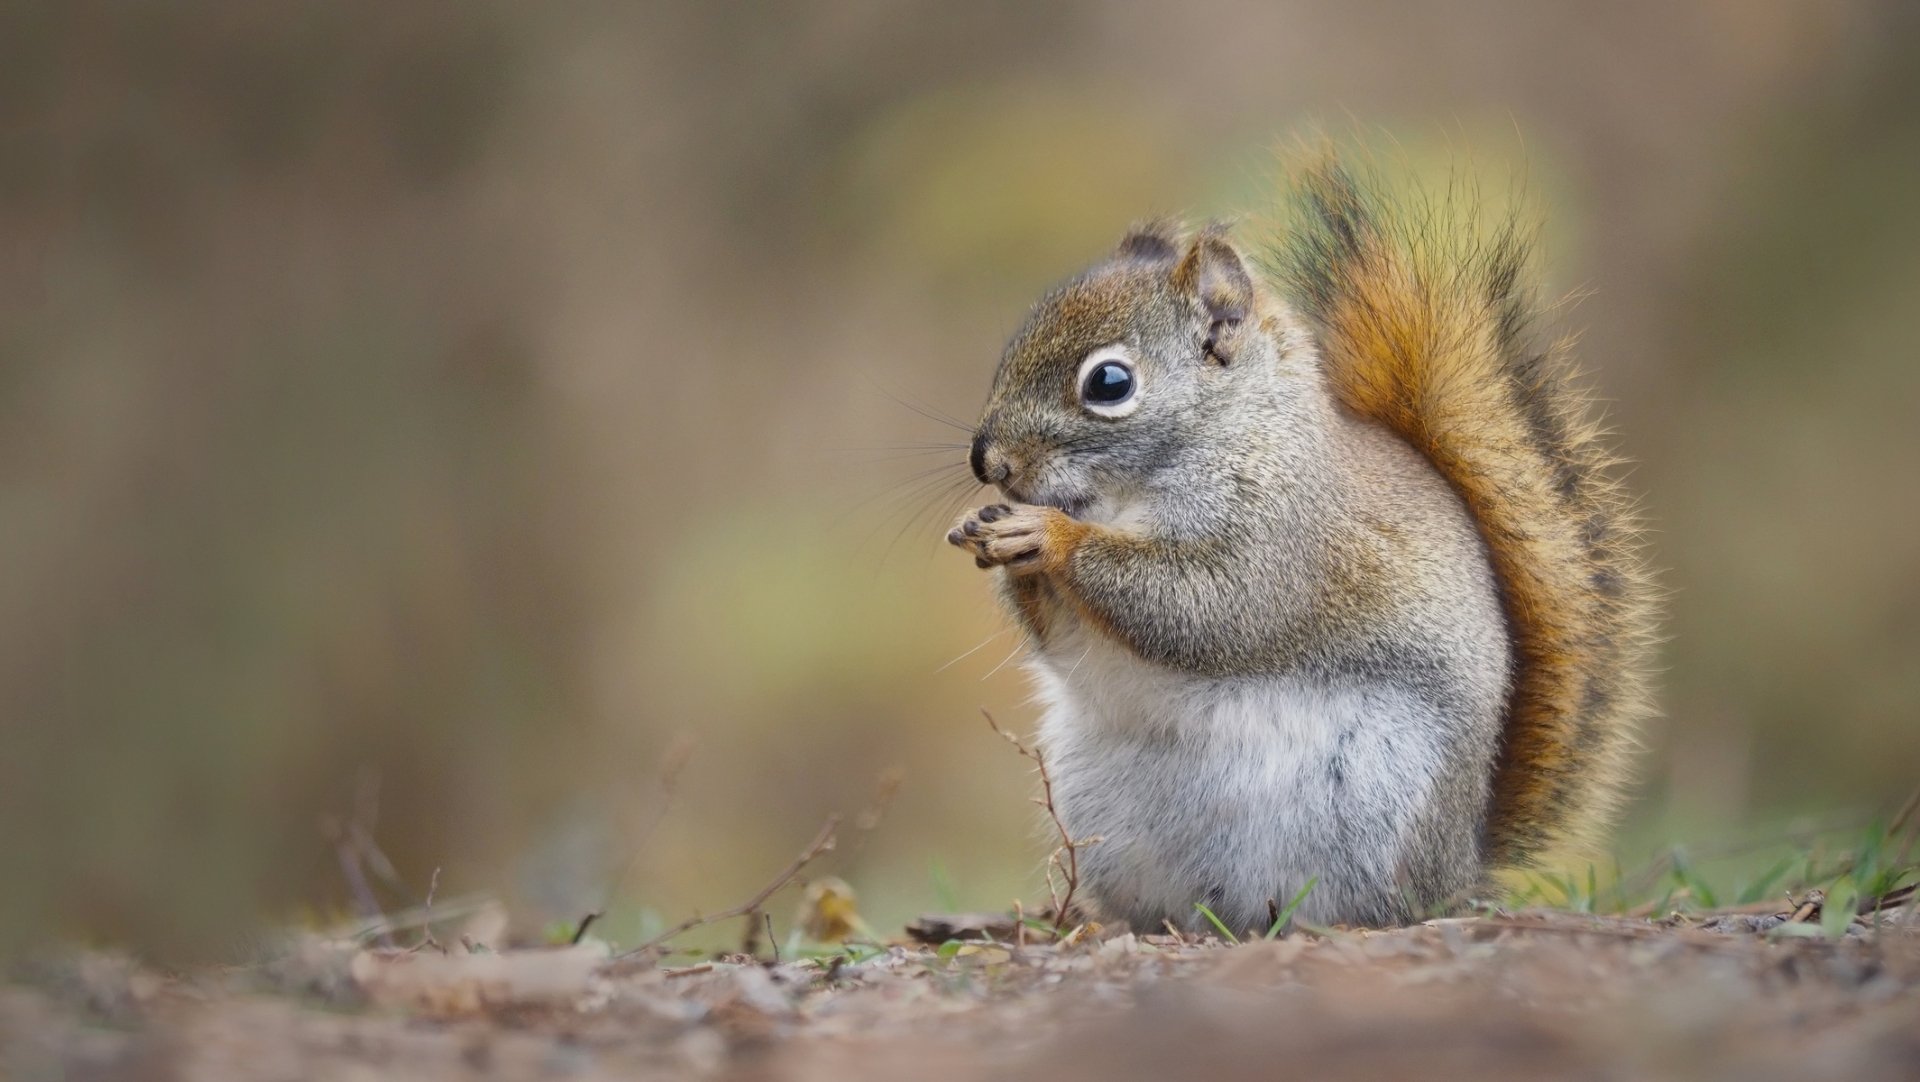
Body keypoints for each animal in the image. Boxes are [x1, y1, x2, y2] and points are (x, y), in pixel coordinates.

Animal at [945, 155, 1658, 933]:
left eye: (1109, 382)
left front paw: (1047, 534)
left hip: (1373, 802)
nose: (988, 463)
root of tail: (1460, 870)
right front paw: (990, 533)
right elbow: (1066, 639)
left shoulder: (1282, 537)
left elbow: (1204, 605)